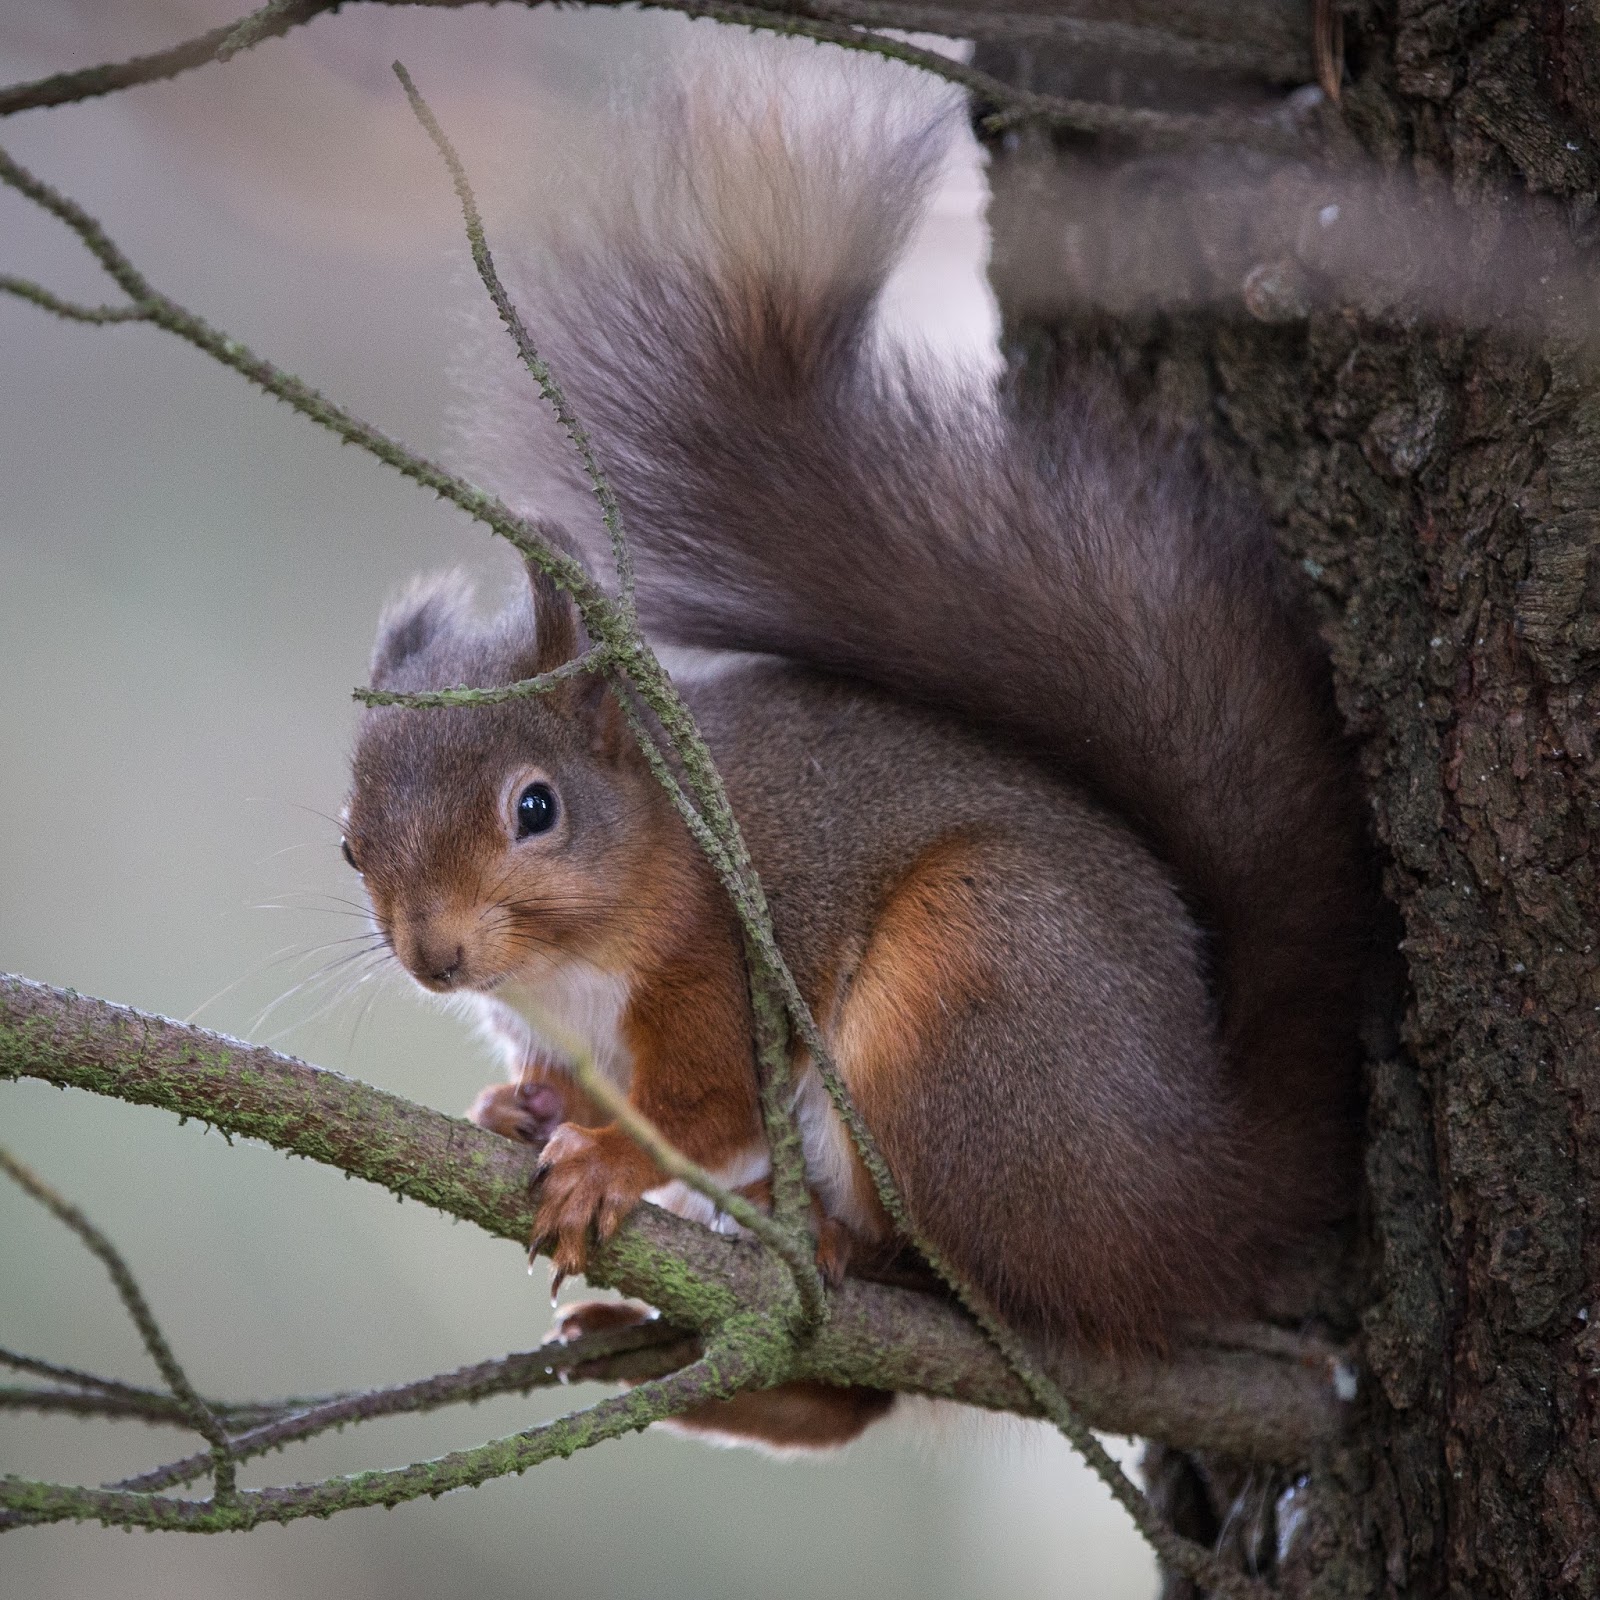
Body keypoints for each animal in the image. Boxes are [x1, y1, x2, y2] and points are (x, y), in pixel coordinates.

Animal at [340, 46, 1376, 1452]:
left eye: (536, 809)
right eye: (350, 847)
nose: (435, 956)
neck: (570, 964)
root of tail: (1191, 1198)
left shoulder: (726, 965)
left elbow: (711, 1109)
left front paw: (610, 1159)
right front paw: (529, 1110)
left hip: (967, 999)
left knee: (952, 1283)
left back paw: (839, 1250)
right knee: (845, 1395)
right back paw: (654, 1345)